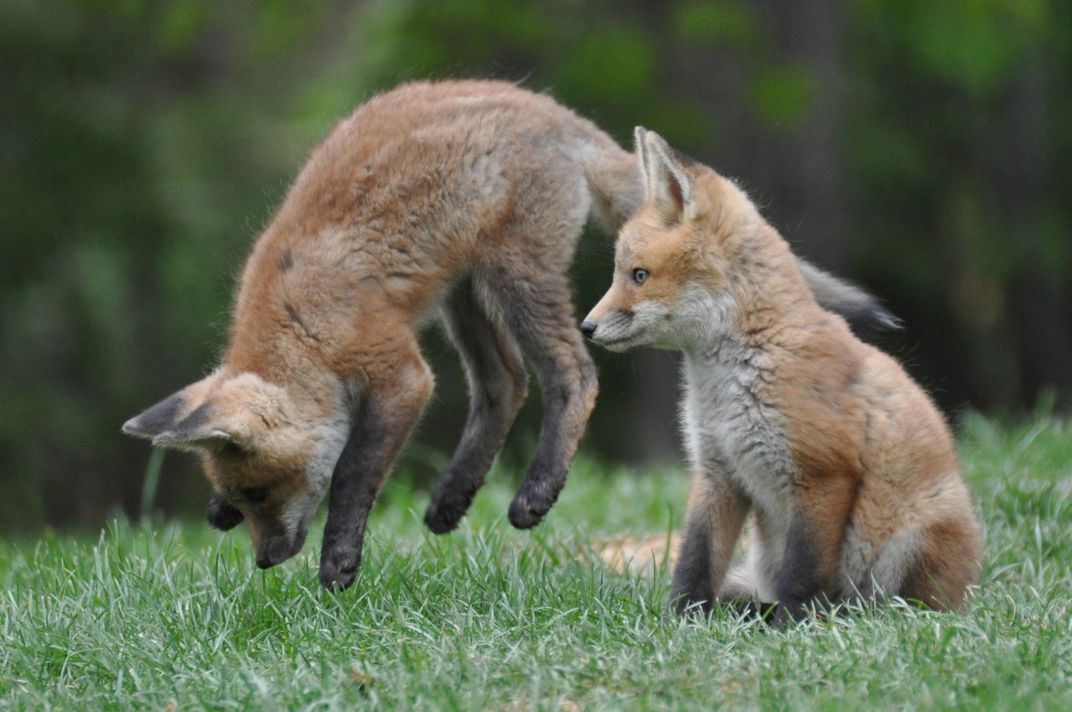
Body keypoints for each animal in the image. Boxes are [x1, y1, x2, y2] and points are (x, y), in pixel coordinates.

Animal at [122, 80, 896, 592]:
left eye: (260, 494)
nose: (264, 560)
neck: (298, 324)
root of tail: (551, 110)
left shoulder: (399, 375)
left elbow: (351, 474)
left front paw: (338, 561)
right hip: (463, 292)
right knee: (505, 385)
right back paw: (453, 498)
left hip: (512, 277)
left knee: (571, 372)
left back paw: (537, 490)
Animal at [582, 128, 982, 623]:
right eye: (623, 274)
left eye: (639, 275)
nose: (586, 327)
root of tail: (966, 592)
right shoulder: (717, 472)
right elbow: (695, 560)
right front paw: (680, 620)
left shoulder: (823, 472)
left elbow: (803, 570)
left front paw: (789, 626)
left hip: (911, 544)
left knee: (890, 607)